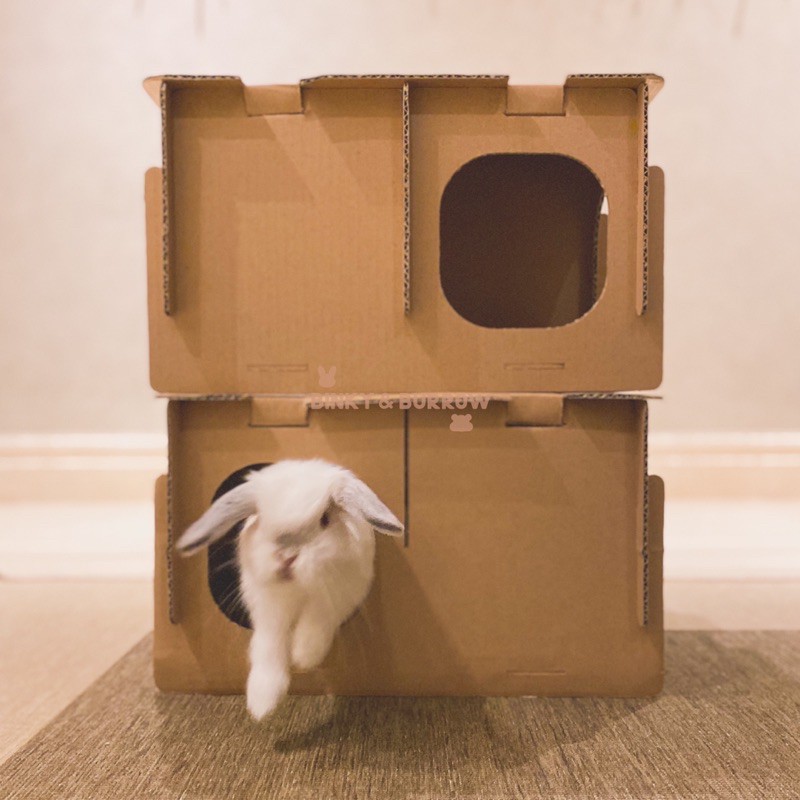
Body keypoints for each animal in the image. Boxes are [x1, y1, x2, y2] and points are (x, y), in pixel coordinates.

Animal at [175, 458, 403, 720]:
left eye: (325, 519)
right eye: (260, 518)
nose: (286, 558)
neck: (298, 588)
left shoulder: (342, 595)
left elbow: (318, 619)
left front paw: (303, 656)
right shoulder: (267, 607)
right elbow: (268, 642)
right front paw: (261, 703)